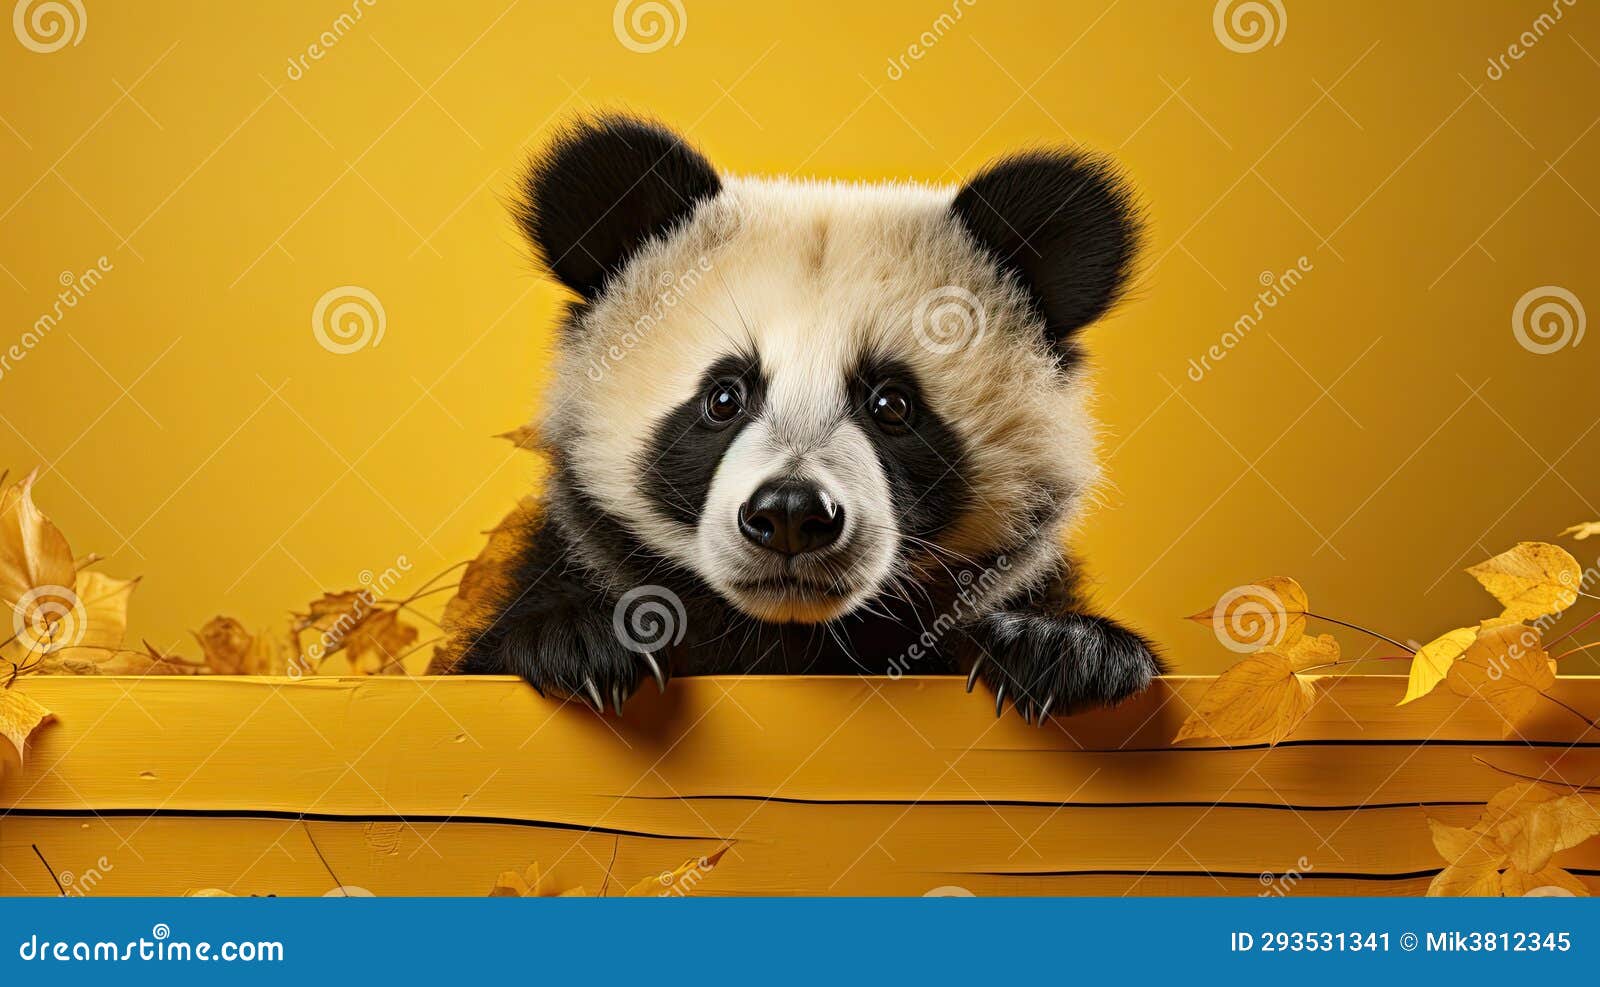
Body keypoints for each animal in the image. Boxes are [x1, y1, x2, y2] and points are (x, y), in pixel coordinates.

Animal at [436, 113, 1164, 723]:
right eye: (724, 398)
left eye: (892, 404)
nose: (790, 514)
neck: (791, 639)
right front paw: (587, 642)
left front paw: (1061, 650)